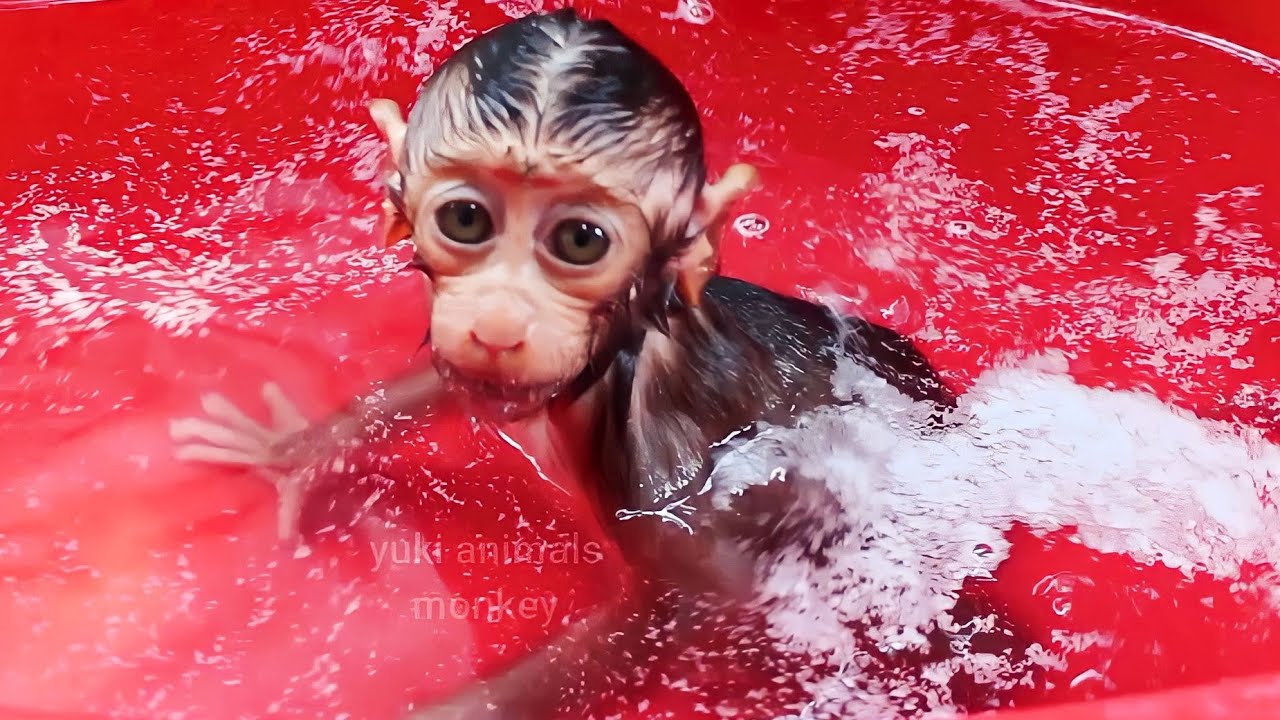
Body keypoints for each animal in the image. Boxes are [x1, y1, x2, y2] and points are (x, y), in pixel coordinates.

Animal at [170, 8, 955, 718]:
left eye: (580, 240)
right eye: (465, 221)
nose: (499, 320)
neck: (617, 362)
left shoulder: (664, 479)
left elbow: (689, 609)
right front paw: (297, 451)